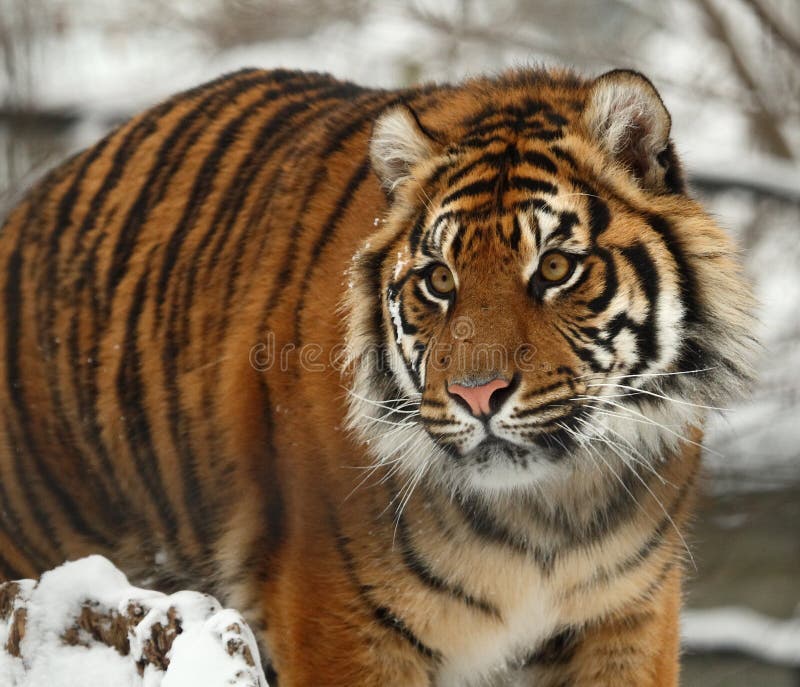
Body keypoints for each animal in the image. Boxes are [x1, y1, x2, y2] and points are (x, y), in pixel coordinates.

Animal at [0, 66, 756, 686]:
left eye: (555, 267)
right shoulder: (342, 619)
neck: (544, 516)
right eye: (439, 280)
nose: (477, 395)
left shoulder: (625, 617)